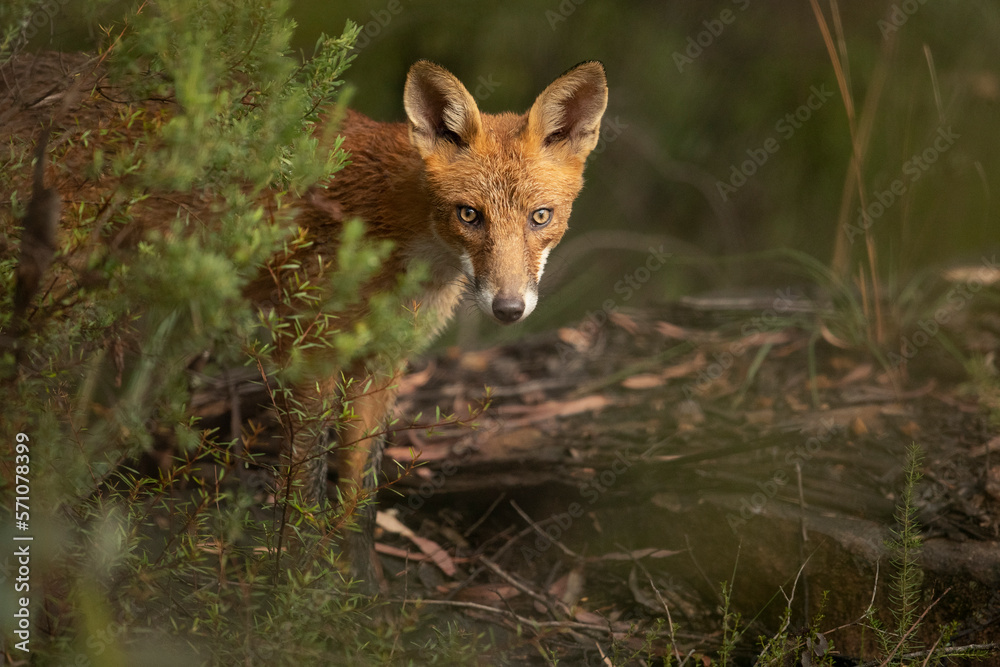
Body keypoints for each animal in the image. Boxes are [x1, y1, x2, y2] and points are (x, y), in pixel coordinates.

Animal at [263, 59, 608, 586]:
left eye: (540, 217)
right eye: (469, 215)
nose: (509, 309)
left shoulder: (384, 361)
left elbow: (360, 491)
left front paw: (363, 586)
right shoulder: (310, 352)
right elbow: (304, 483)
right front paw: (295, 580)